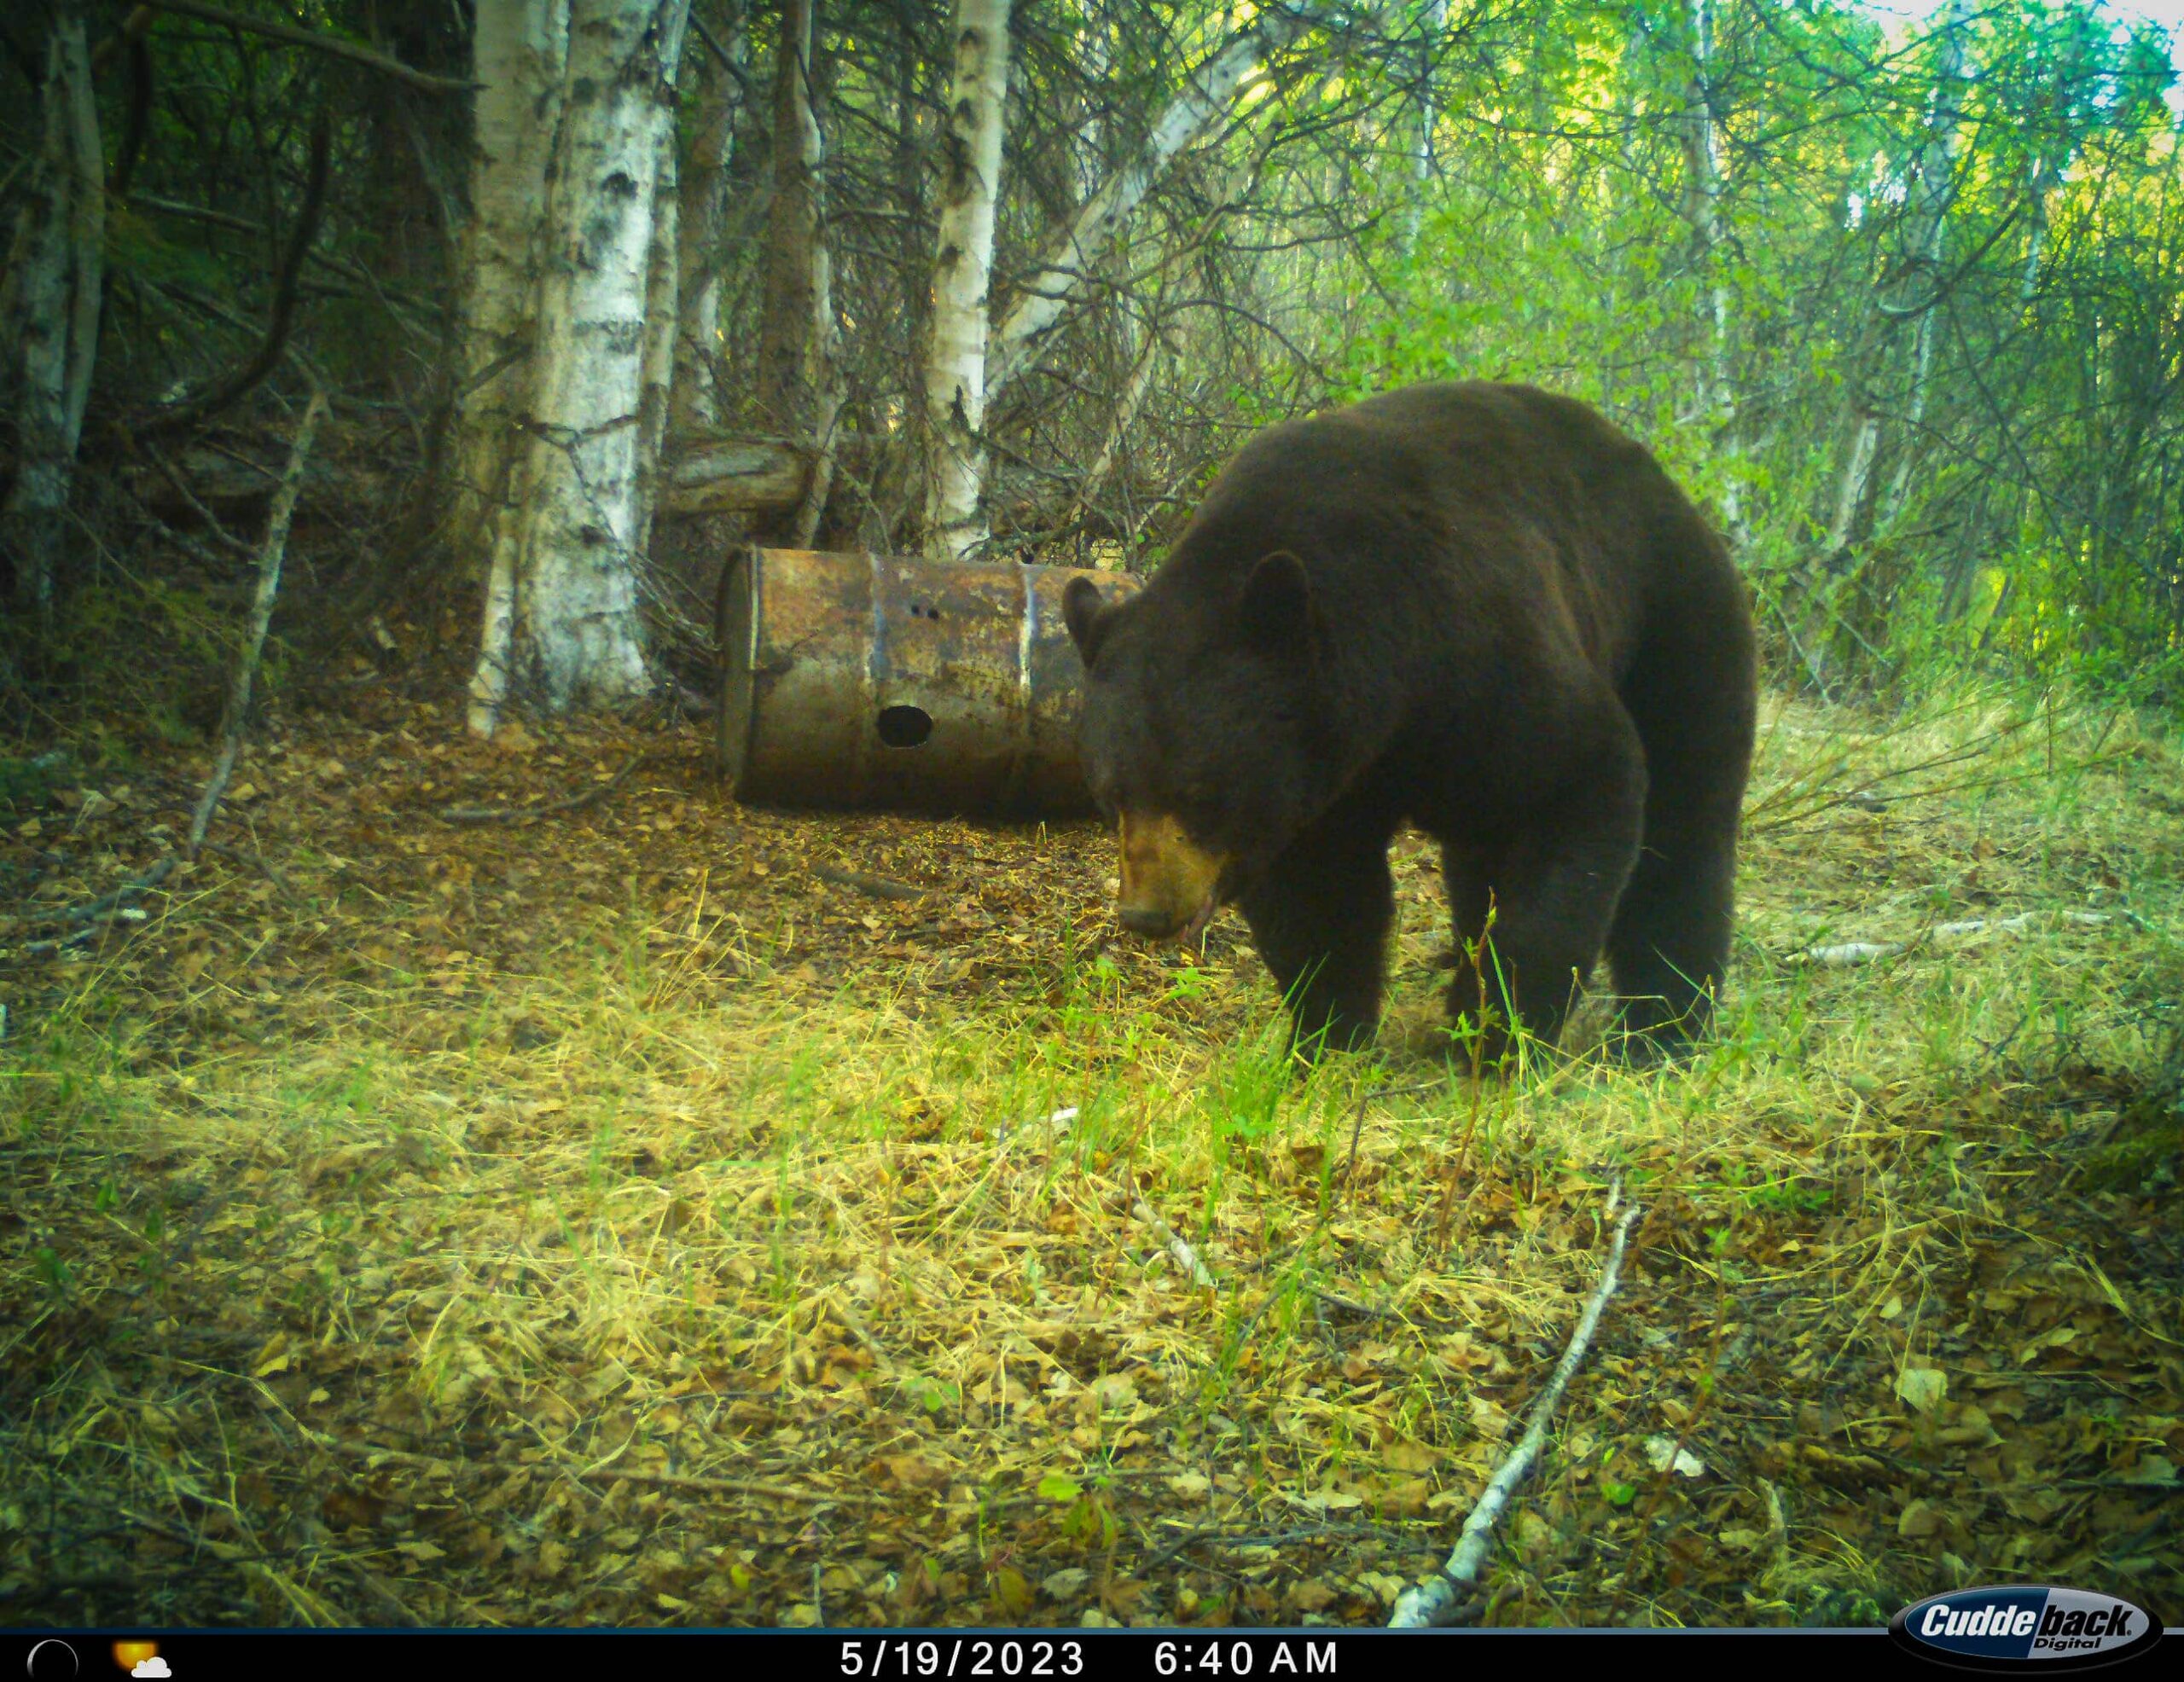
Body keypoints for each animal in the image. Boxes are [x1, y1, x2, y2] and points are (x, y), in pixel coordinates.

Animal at [1061, 380, 1758, 1062]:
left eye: (1202, 791)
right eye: (1109, 793)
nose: (1147, 913)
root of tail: (1674, 491)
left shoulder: (1482, 656)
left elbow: (1578, 784)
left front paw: (1504, 1029)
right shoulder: (1322, 773)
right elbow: (1320, 895)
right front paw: (1328, 1035)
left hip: (1675, 624)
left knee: (1684, 816)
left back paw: (1664, 1025)